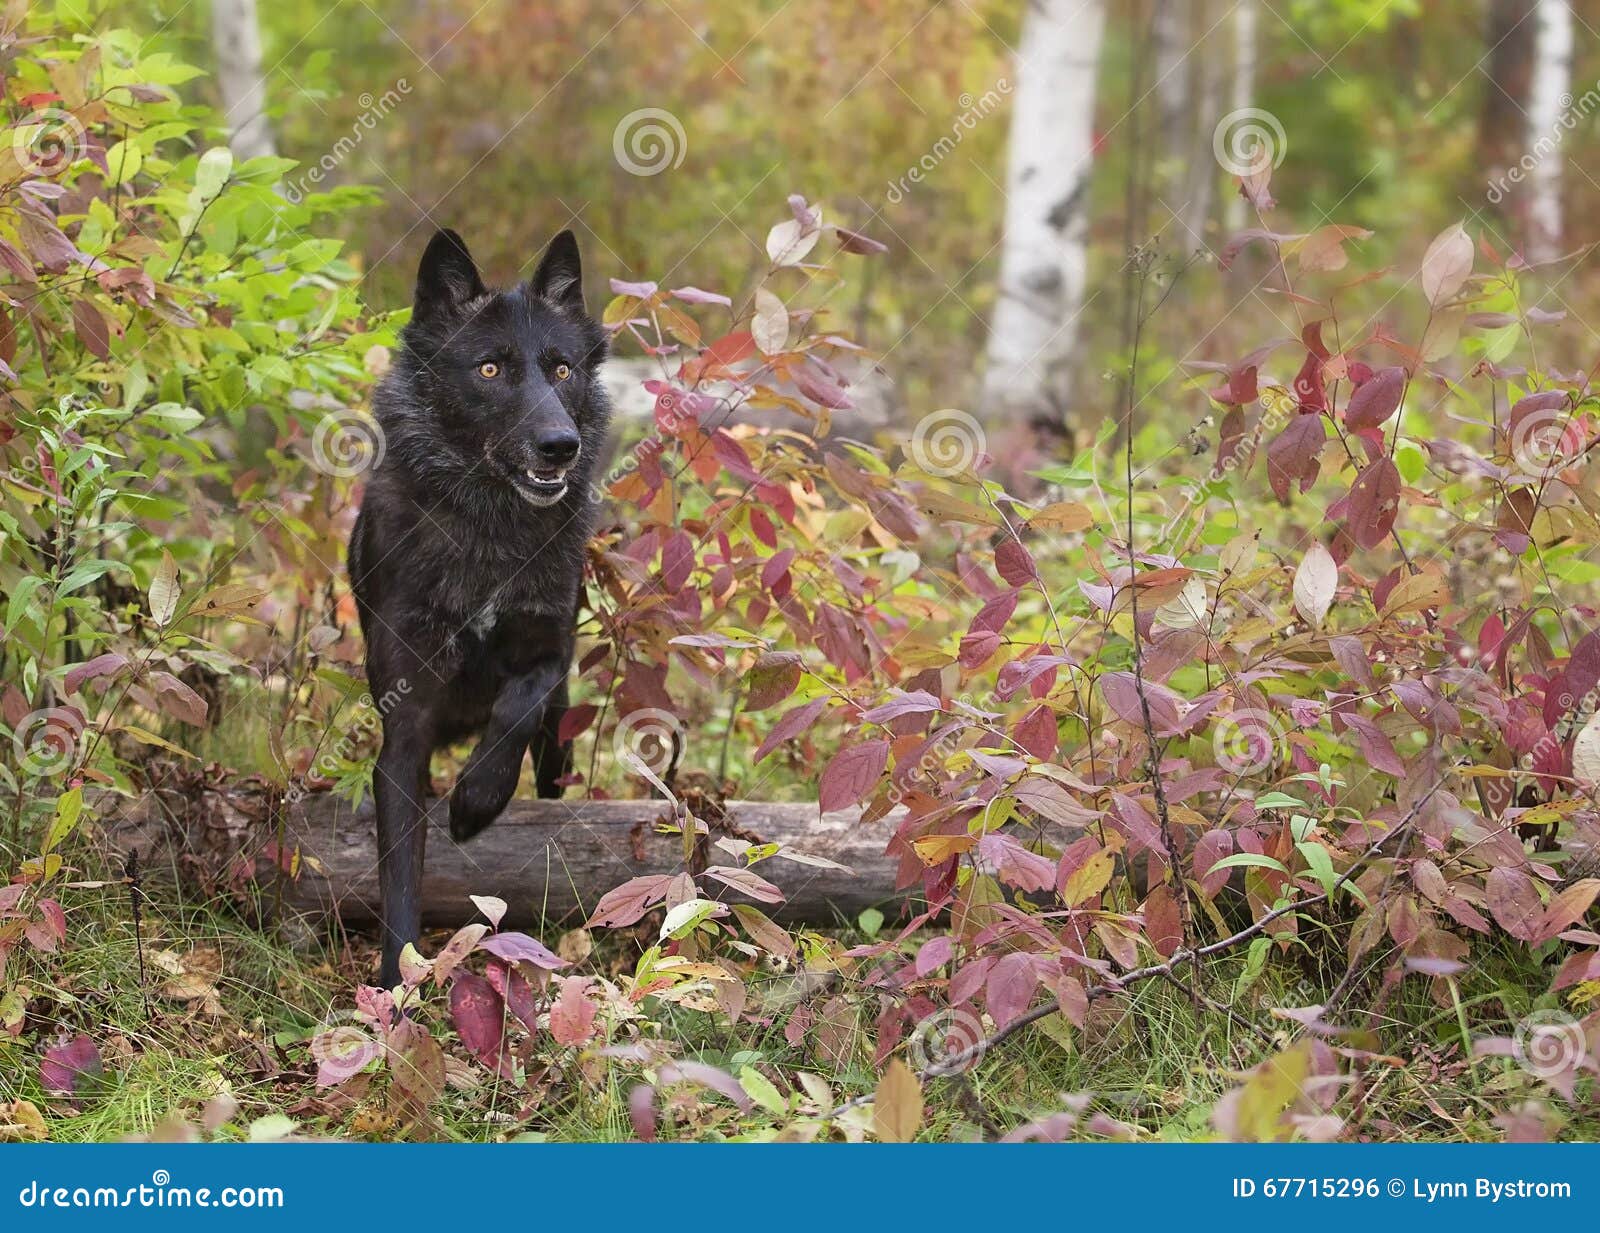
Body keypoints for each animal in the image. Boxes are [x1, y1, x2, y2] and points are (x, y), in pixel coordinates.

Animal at [348, 227, 609, 986]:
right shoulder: (404, 729)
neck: (492, 533)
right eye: (490, 370)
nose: (560, 446)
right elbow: (400, 870)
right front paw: (396, 983)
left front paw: (477, 799)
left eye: (562, 370)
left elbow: (523, 698)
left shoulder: (551, 645)